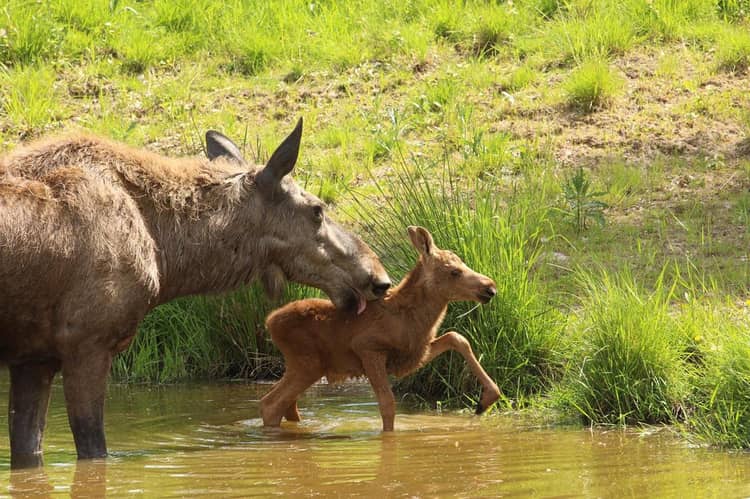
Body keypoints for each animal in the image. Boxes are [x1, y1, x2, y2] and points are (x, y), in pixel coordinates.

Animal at [0, 118, 391, 468]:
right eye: (317, 210)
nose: (379, 278)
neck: (167, 257)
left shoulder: (34, 359)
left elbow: (28, 452)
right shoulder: (87, 343)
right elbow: (93, 449)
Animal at [261, 226, 501, 431]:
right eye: (454, 272)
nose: (490, 288)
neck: (412, 320)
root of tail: (270, 322)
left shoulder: (413, 354)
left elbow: (456, 337)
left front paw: (487, 399)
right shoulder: (368, 348)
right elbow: (388, 404)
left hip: (305, 365)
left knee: (283, 402)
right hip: (307, 363)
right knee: (271, 403)